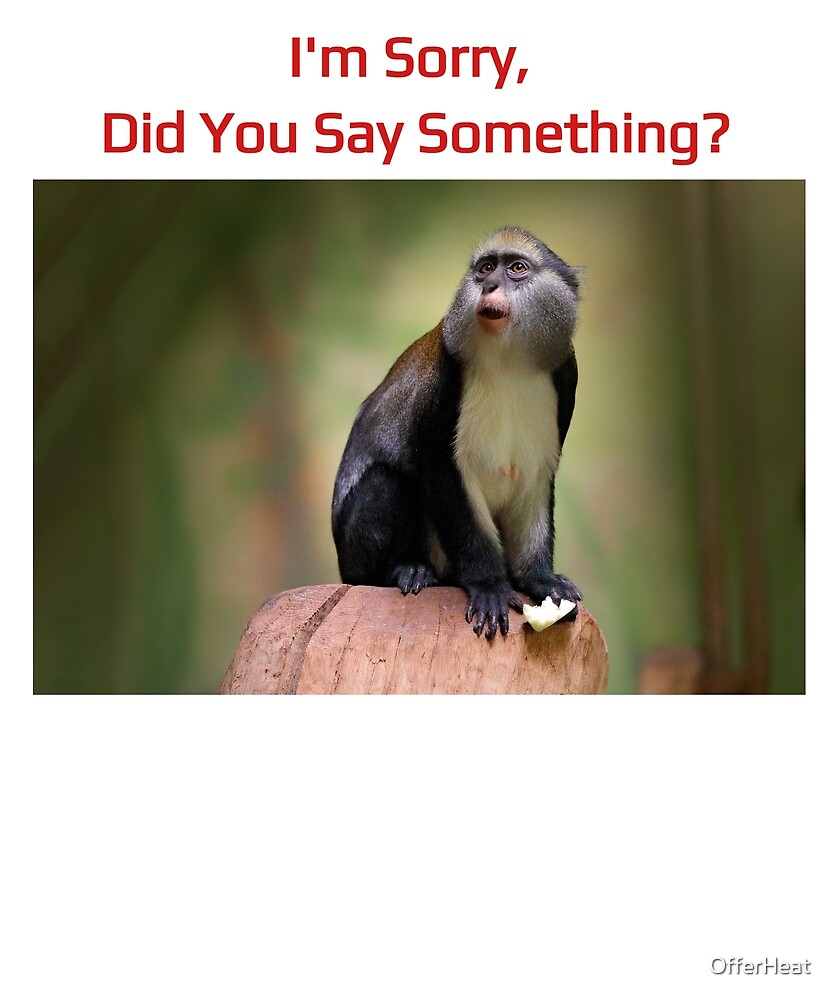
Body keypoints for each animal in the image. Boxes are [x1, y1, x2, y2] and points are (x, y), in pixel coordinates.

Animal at [332, 226, 582, 639]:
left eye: (516, 268)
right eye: (485, 269)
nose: (489, 285)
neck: (509, 360)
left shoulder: (566, 372)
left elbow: (535, 479)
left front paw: (541, 580)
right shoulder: (445, 377)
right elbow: (444, 475)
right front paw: (489, 585)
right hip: (358, 560)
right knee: (384, 480)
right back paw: (406, 569)